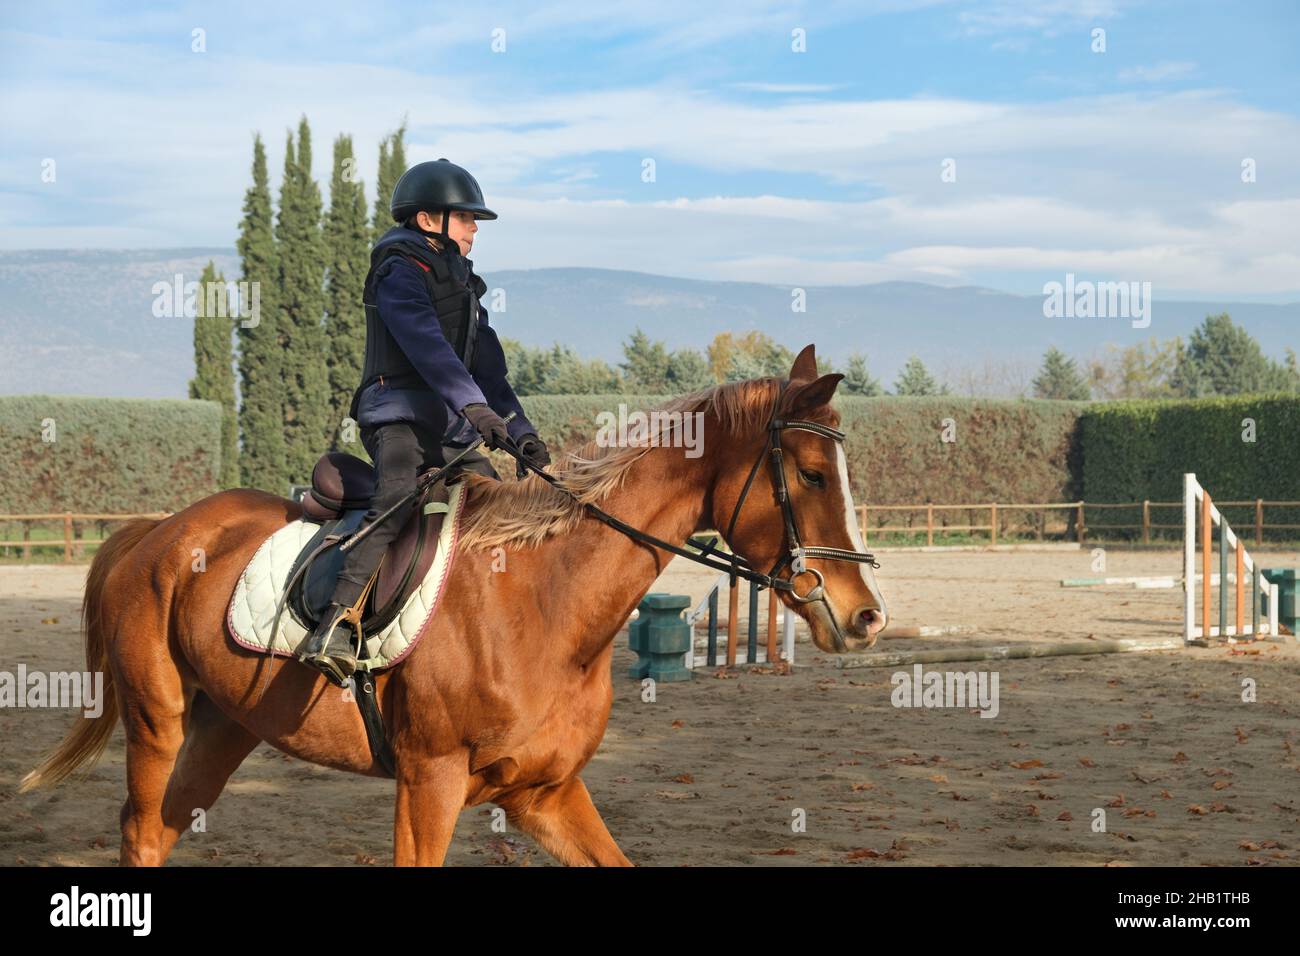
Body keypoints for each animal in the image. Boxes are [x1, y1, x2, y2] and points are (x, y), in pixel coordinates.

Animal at [20, 344, 888, 865]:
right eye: (812, 474)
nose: (866, 615)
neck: (546, 603)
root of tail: (157, 531)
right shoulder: (428, 785)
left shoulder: (544, 793)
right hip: (158, 721)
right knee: (140, 829)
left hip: (225, 726)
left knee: (165, 827)